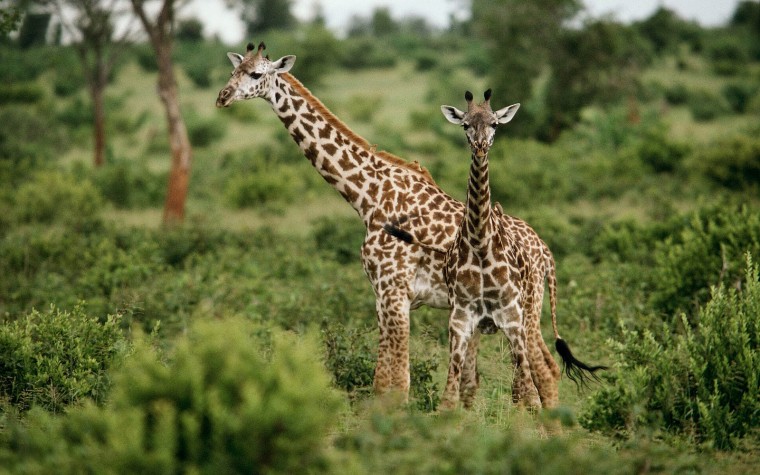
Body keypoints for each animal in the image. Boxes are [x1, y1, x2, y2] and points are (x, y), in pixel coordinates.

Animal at [215, 42, 570, 406]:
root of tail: (545, 252)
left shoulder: (395, 288)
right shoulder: (381, 293)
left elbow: (397, 383)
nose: (223, 97)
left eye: (256, 74)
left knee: (544, 369)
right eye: (233, 70)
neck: (368, 197)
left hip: (524, 306)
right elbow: (383, 380)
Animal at [385, 90, 606, 409]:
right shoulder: (460, 320)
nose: (480, 148)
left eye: (495, 124)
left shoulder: (511, 319)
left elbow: (529, 395)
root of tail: (545, 250)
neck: (479, 243)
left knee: (532, 381)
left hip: (527, 317)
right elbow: (449, 396)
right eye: (465, 124)